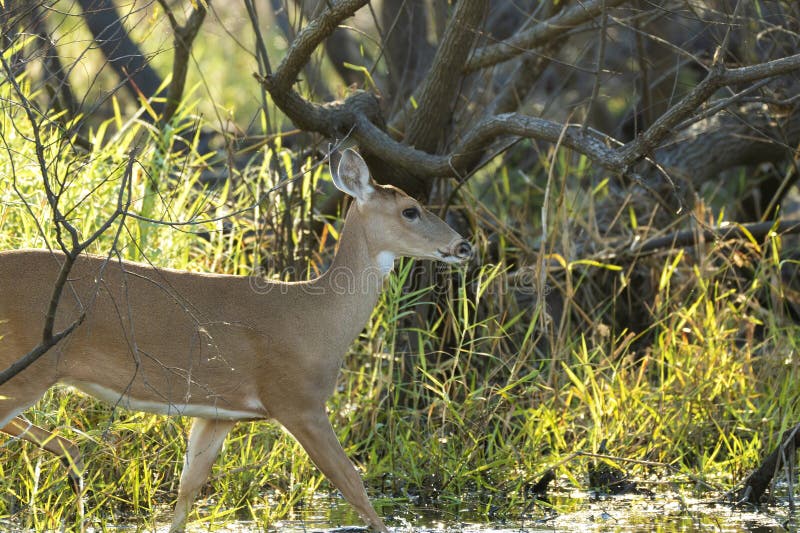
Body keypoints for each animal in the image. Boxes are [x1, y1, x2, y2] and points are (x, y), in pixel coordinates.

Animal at [0, 148, 472, 532]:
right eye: (411, 210)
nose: (464, 246)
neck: (314, 319)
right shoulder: (297, 400)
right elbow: (356, 488)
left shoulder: (218, 413)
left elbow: (186, 492)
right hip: (26, 366)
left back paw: (75, 466)